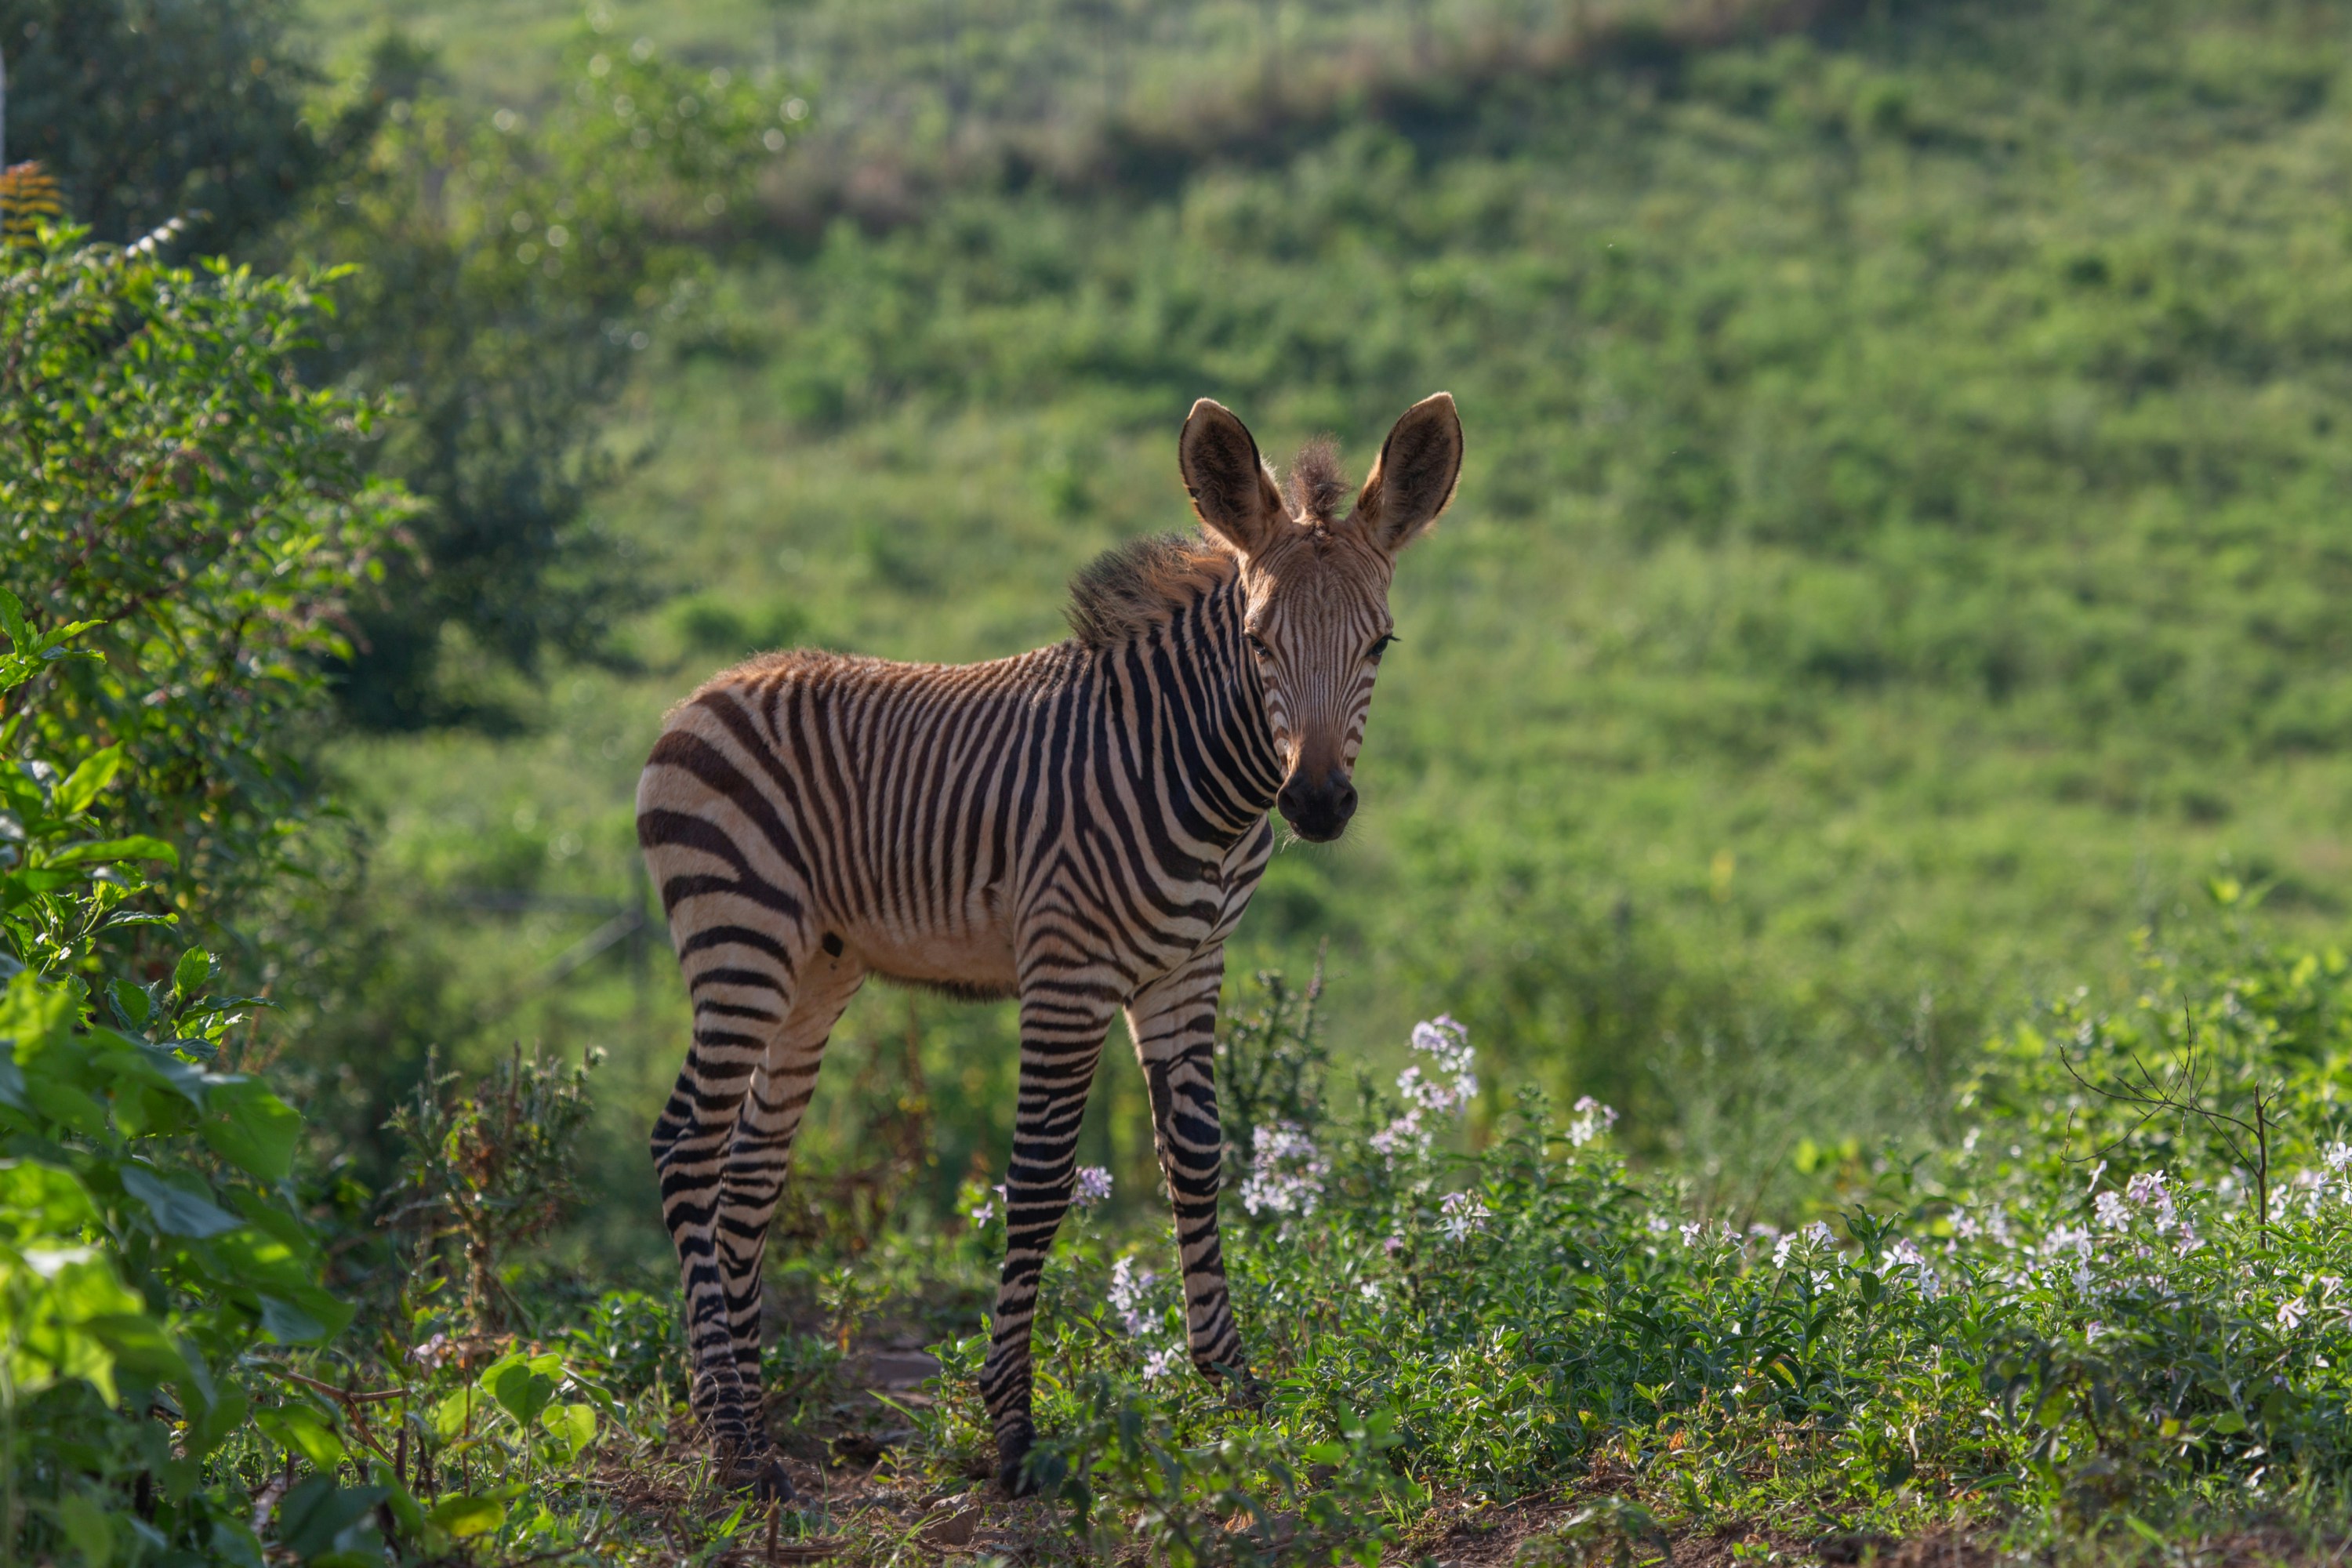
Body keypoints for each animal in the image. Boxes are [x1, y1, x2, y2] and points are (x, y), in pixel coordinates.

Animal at [635, 392, 1464, 1498]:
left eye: (1380, 644)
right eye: (1257, 640)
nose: (1320, 805)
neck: (1194, 777)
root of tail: (702, 693)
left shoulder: (1188, 966)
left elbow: (1196, 1155)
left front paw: (1233, 1388)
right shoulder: (1068, 969)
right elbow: (1037, 1180)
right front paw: (1013, 1428)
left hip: (813, 967)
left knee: (747, 1171)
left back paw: (750, 1417)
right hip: (742, 936)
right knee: (689, 1149)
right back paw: (732, 1441)